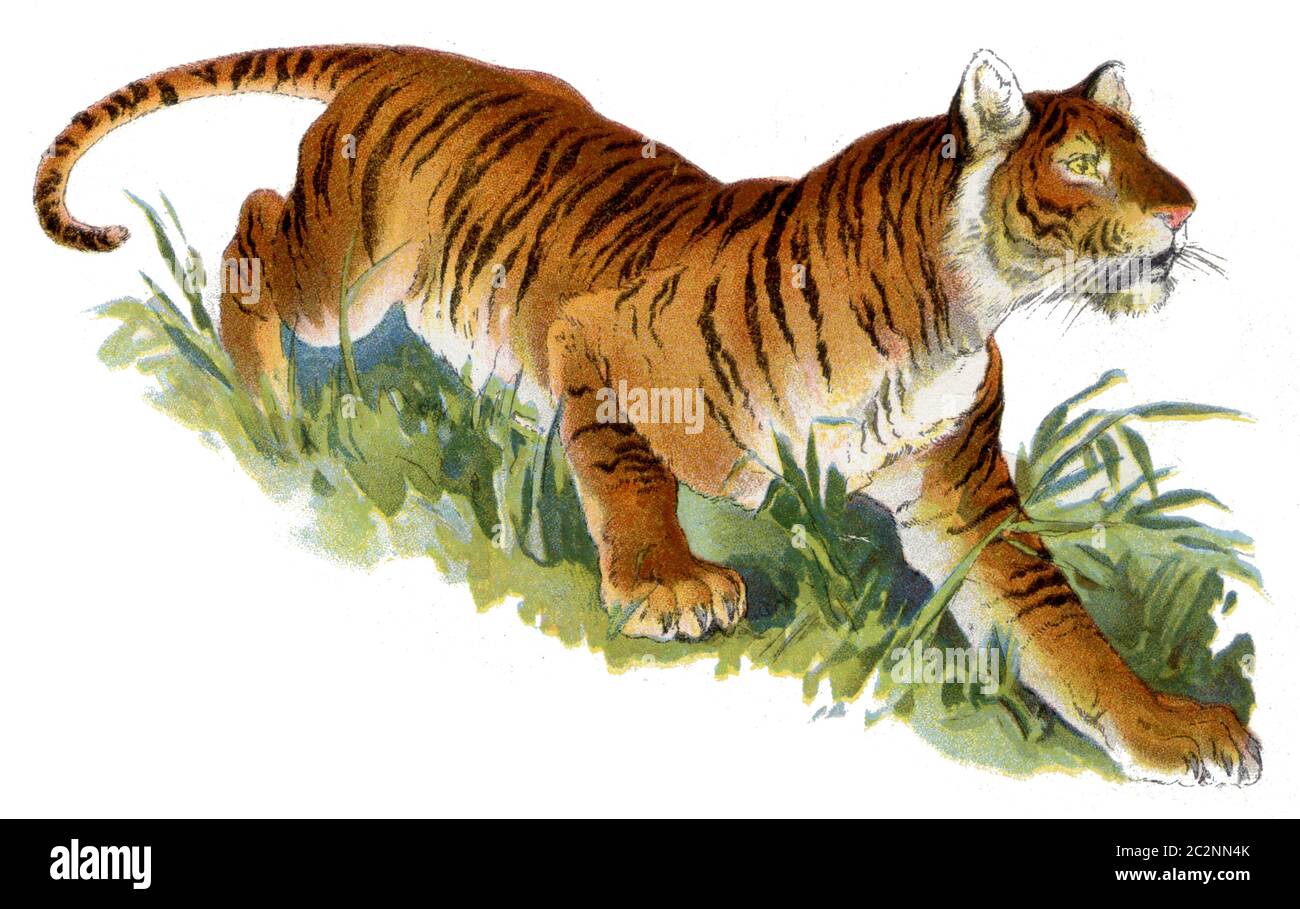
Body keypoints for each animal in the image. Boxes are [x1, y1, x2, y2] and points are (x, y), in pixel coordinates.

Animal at [34, 44, 1259, 785]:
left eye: (1146, 154)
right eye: (1085, 164)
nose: (1186, 211)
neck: (948, 322)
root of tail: (416, 56)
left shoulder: (968, 504)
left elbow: (1061, 630)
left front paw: (1173, 727)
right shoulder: (594, 339)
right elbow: (626, 471)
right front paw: (670, 587)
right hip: (348, 270)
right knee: (250, 229)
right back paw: (274, 410)